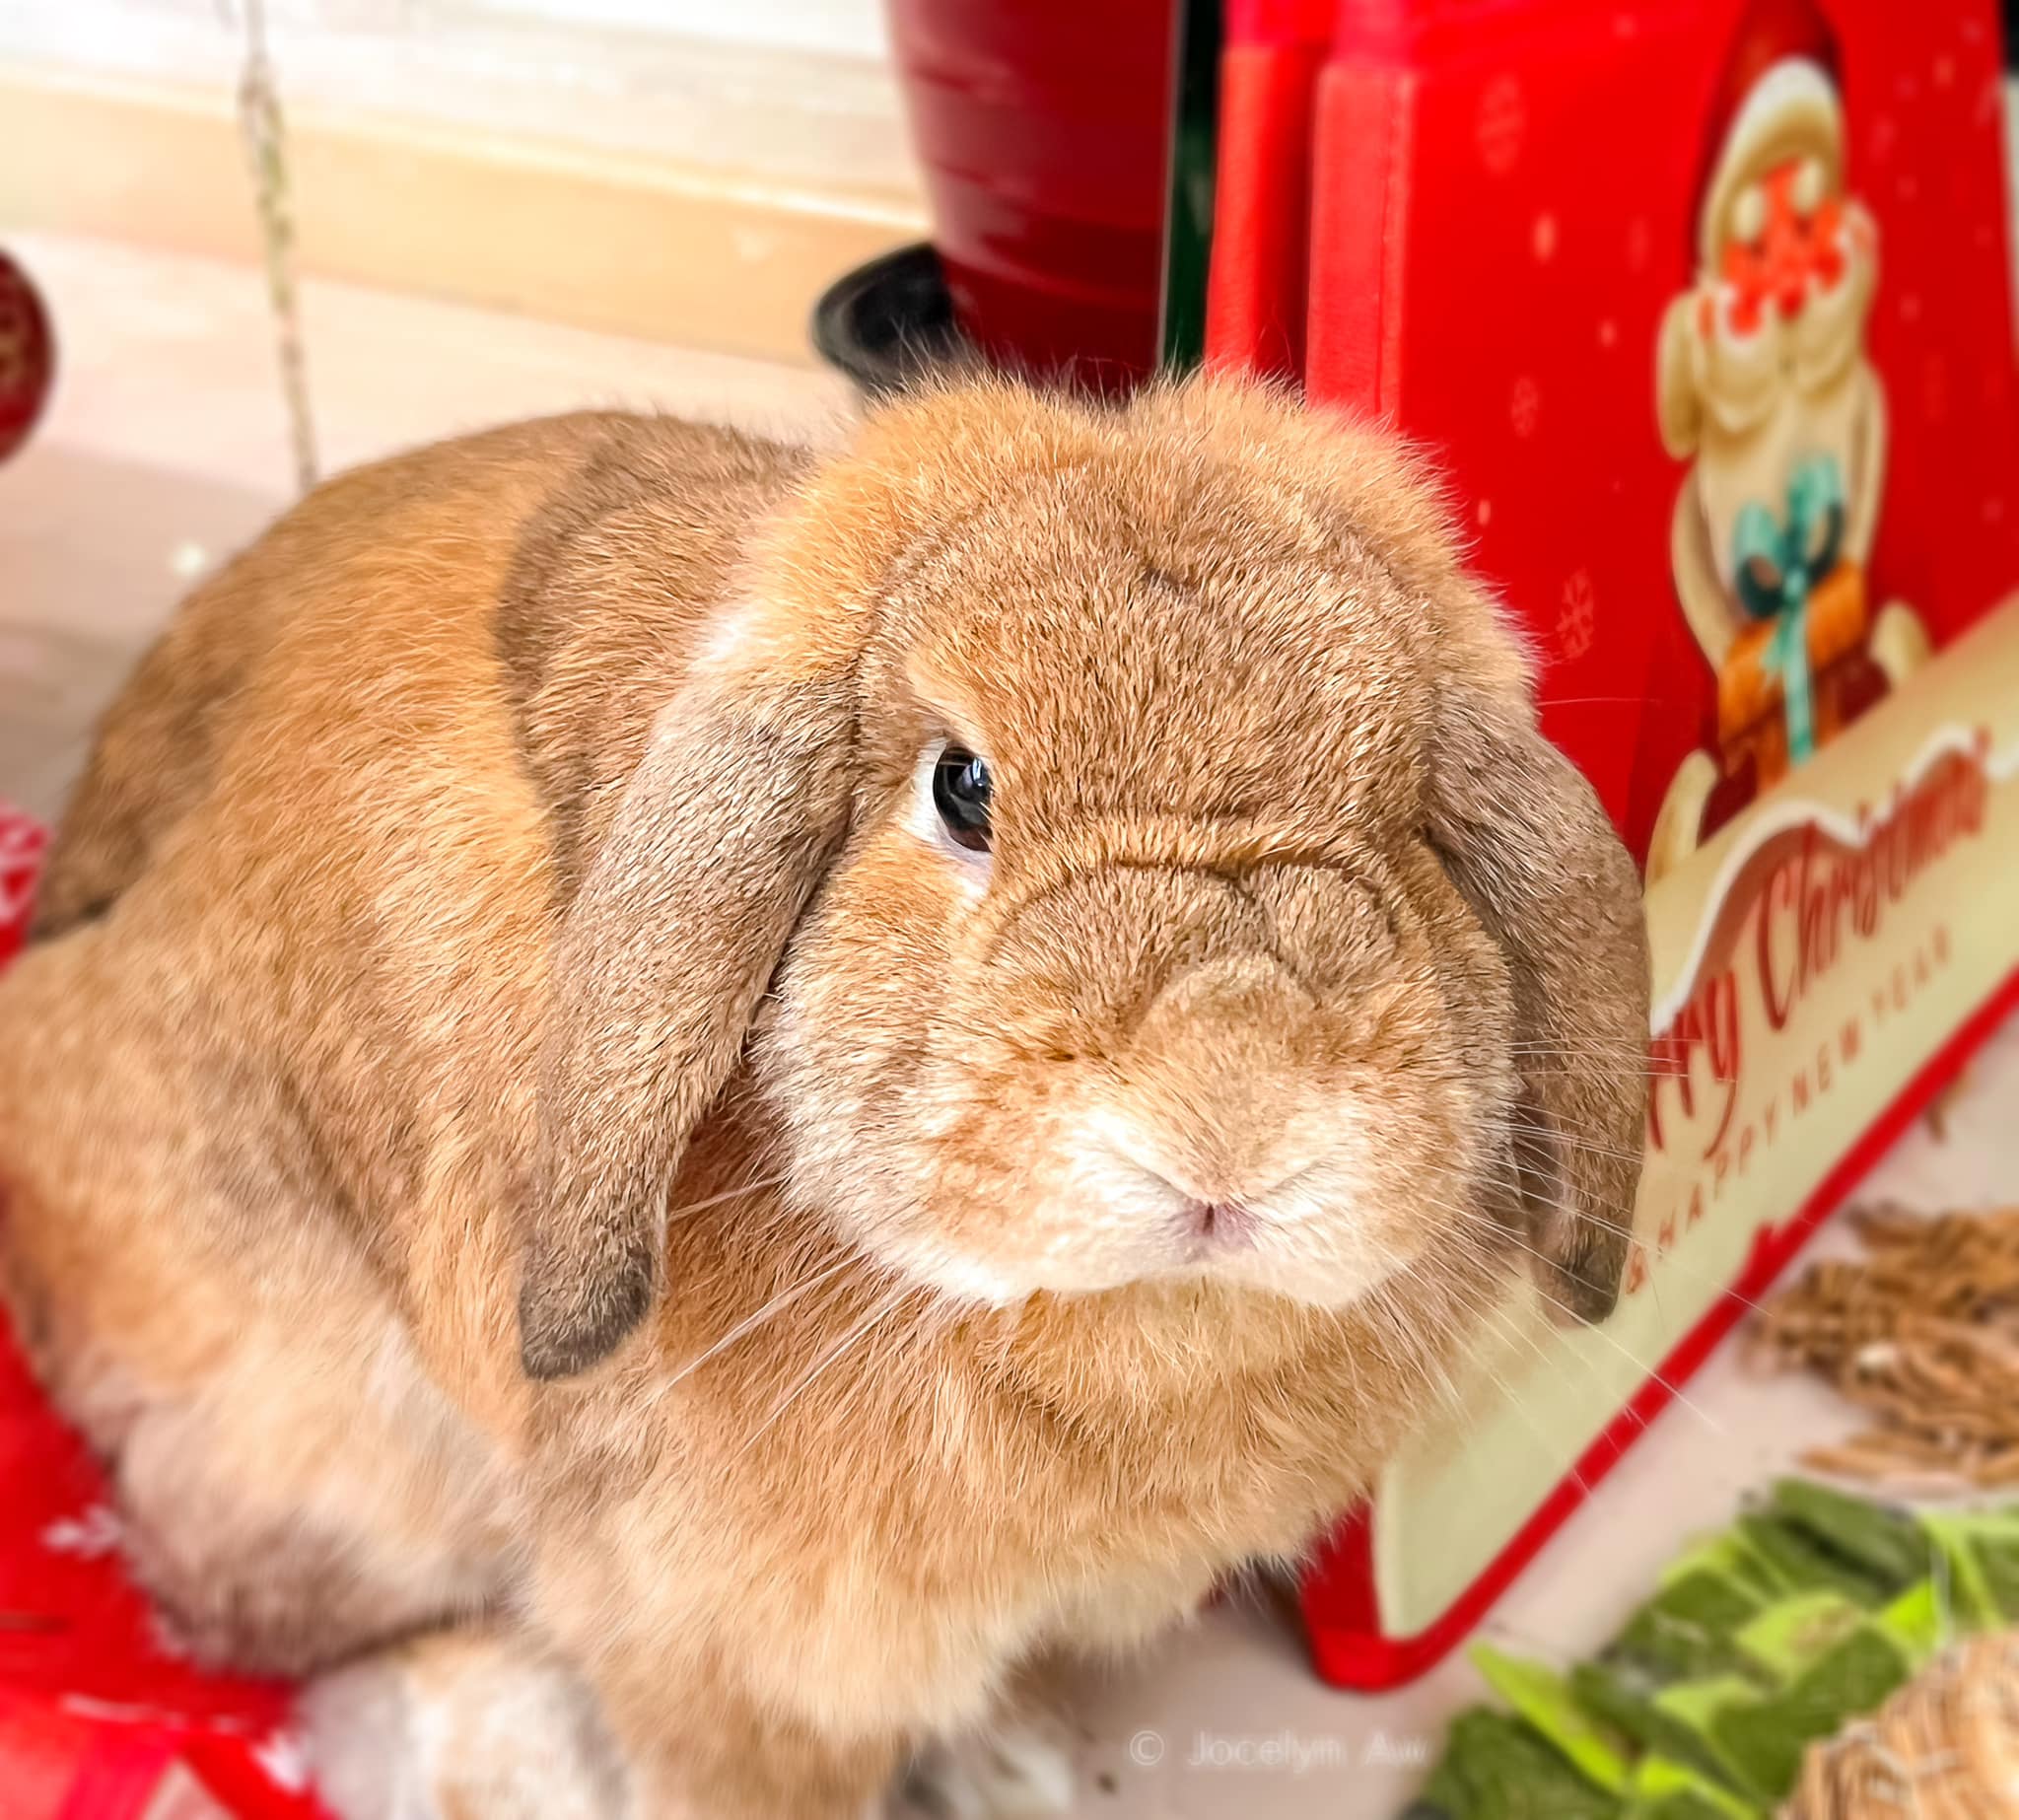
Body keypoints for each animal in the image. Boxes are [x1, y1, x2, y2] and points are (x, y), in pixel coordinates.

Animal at [0, 375, 1649, 1819]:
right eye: (961, 788)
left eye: (1411, 812)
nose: (1232, 1106)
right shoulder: (722, 1634)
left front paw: (1012, 1761)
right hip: (324, 1447)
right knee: (284, 1623)